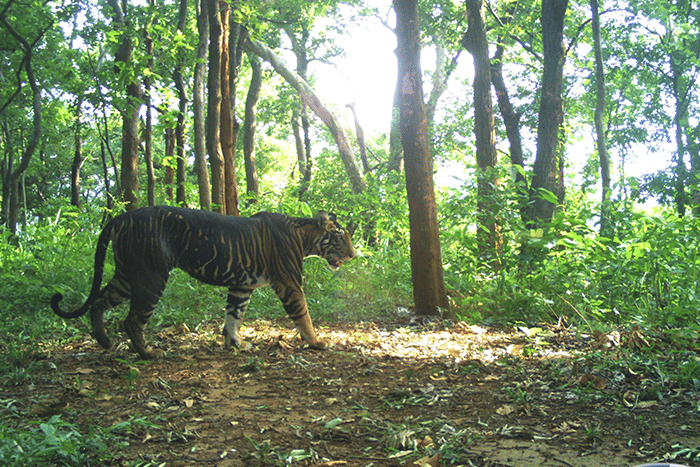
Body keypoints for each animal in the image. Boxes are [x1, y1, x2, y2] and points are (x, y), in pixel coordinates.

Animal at [50, 206, 355, 359]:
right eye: (340, 236)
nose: (353, 255)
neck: (304, 238)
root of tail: (122, 216)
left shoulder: (241, 286)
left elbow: (233, 316)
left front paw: (235, 344)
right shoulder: (290, 283)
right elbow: (303, 315)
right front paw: (317, 343)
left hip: (128, 275)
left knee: (99, 302)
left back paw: (103, 340)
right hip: (151, 277)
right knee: (132, 319)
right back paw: (149, 352)